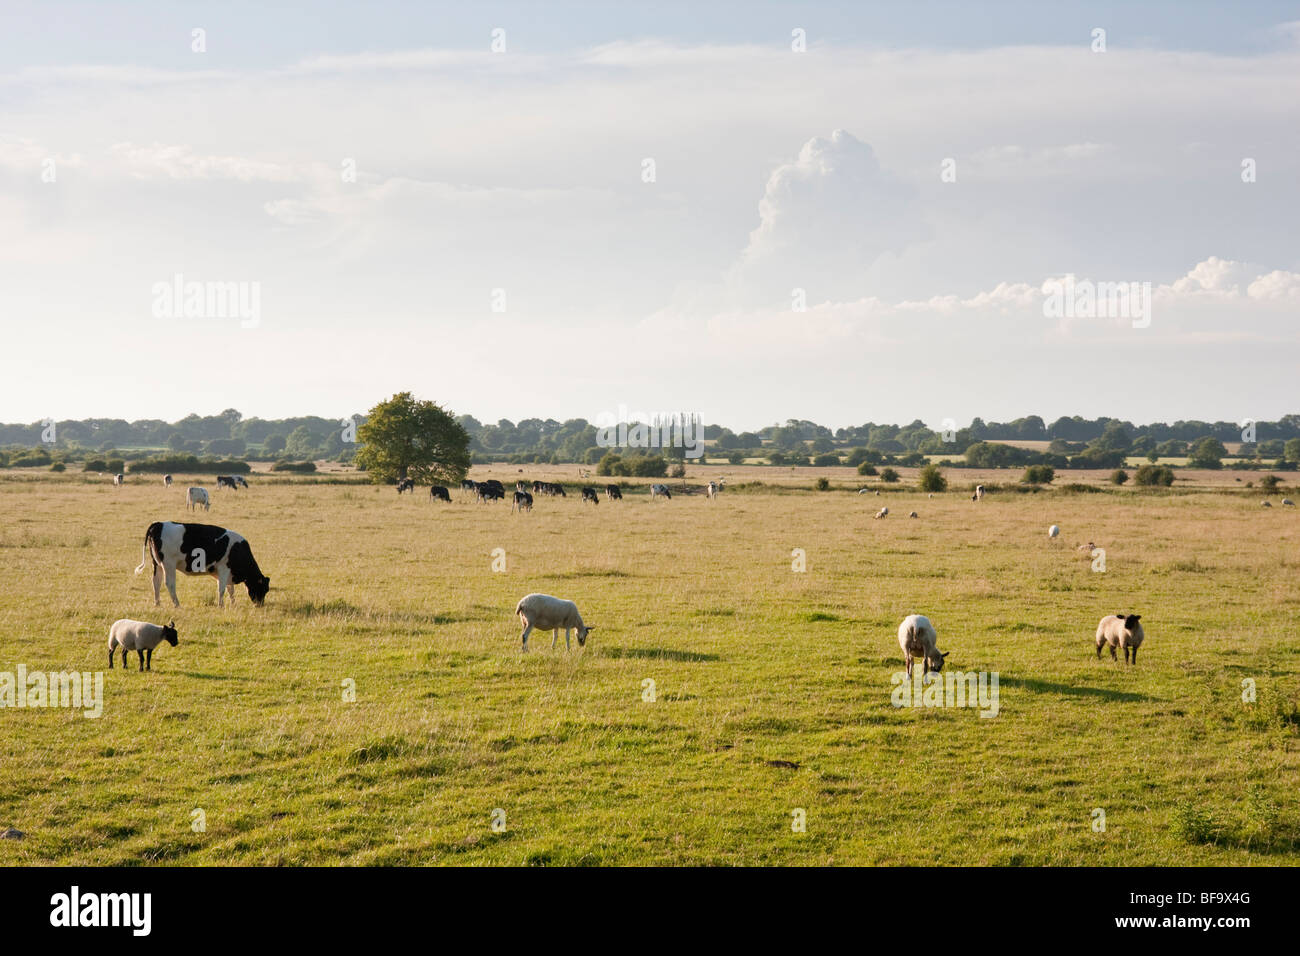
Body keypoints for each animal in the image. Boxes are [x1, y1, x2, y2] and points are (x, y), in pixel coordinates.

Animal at [133, 521, 270, 608]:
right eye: (263, 589)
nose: (260, 605)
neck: (238, 549)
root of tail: (158, 524)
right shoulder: (224, 568)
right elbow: (222, 588)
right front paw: (221, 605)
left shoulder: (226, 572)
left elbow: (230, 589)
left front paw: (233, 603)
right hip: (168, 564)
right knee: (169, 583)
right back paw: (177, 604)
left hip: (157, 564)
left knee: (156, 582)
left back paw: (157, 603)